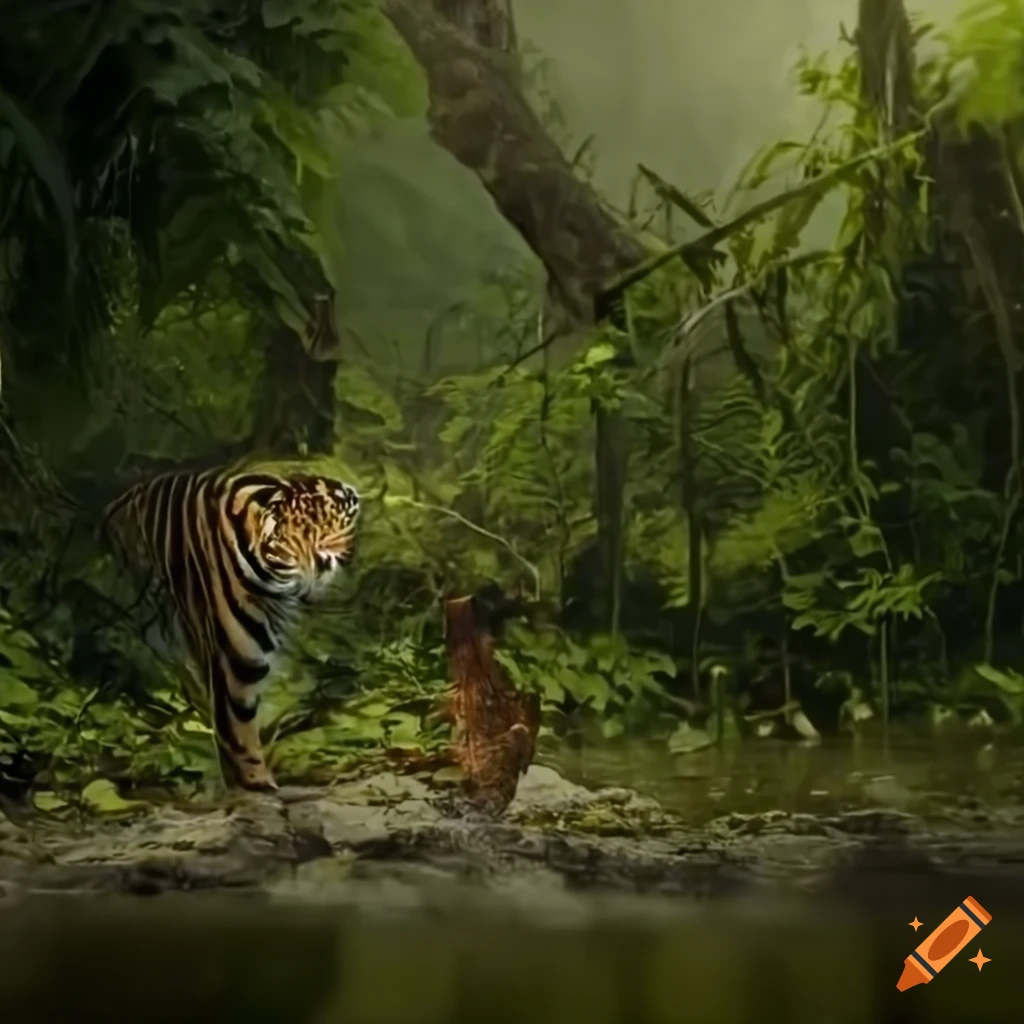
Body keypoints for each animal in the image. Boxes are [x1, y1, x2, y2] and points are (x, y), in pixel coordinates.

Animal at [102, 465, 360, 791]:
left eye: (330, 545)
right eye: (287, 547)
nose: (312, 582)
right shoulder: (238, 660)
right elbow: (239, 729)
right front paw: (256, 781)